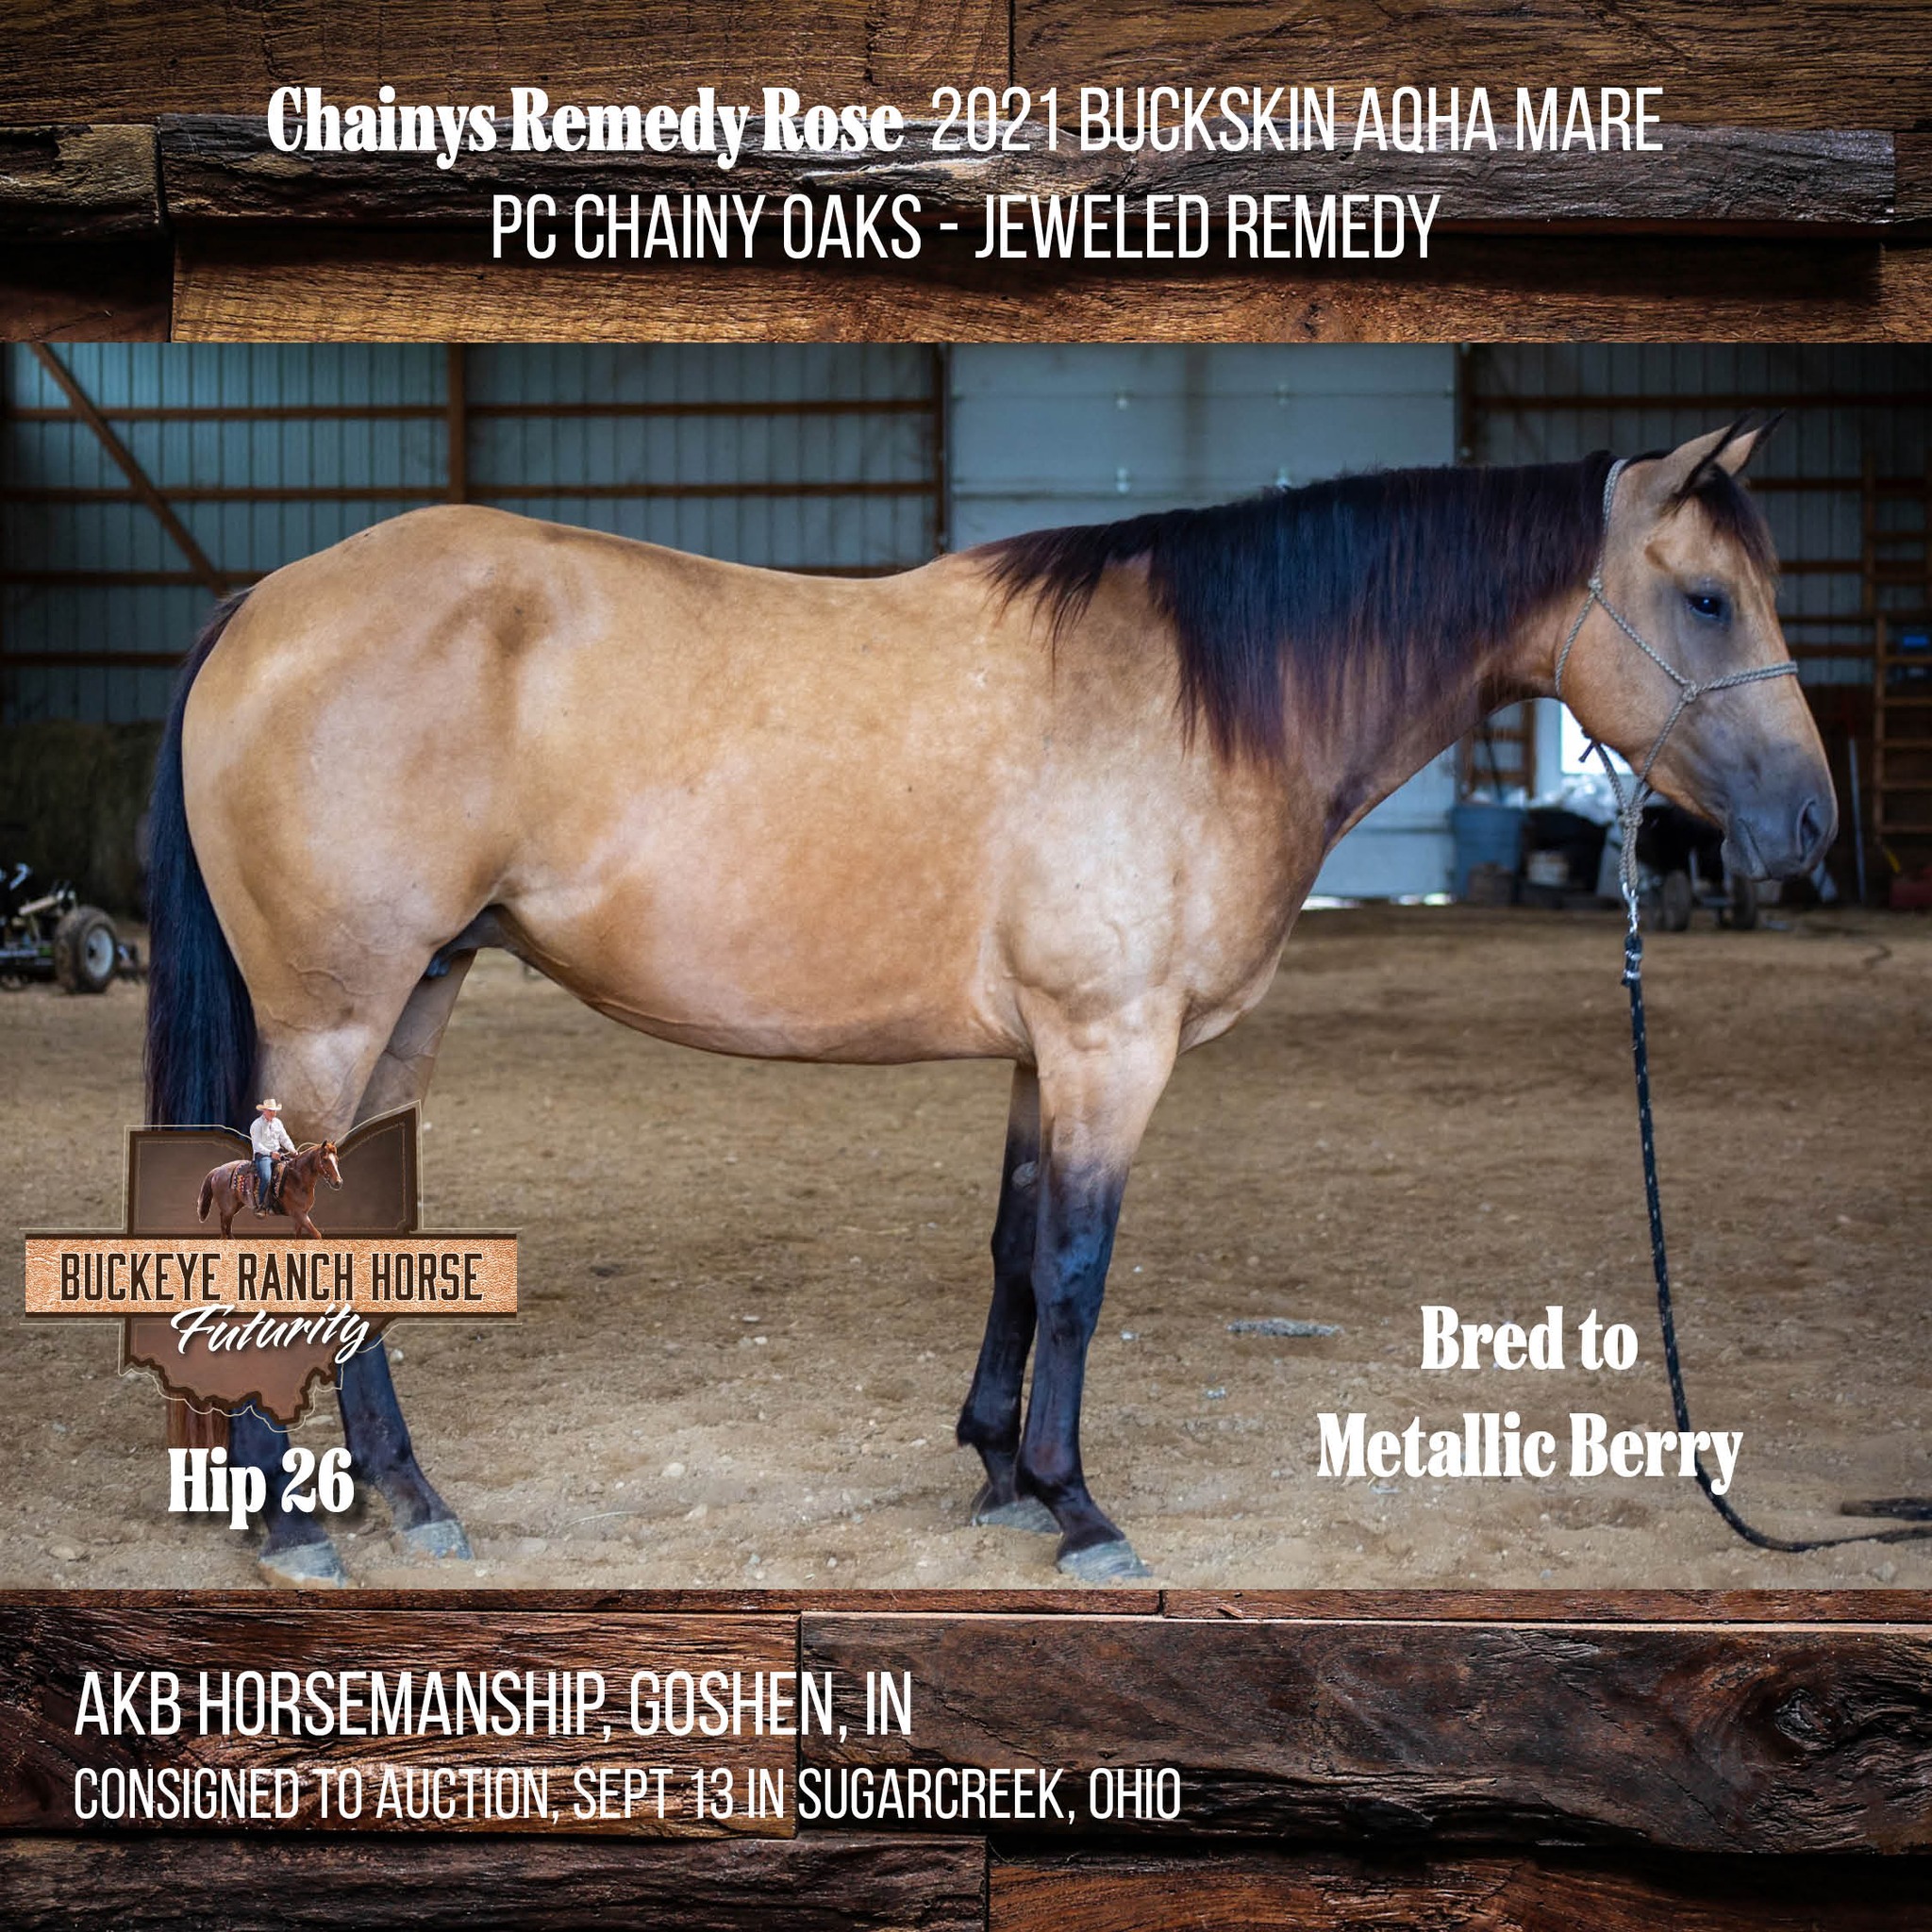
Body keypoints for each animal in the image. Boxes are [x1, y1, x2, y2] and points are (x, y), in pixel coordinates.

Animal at [196, 1141, 343, 1237]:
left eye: (336, 1159)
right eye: (325, 1160)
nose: (338, 1182)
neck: (297, 1178)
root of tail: (218, 1170)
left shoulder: (300, 1217)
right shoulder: (300, 1215)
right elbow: (318, 1235)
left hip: (234, 1207)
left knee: (227, 1229)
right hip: (228, 1209)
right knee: (224, 1229)